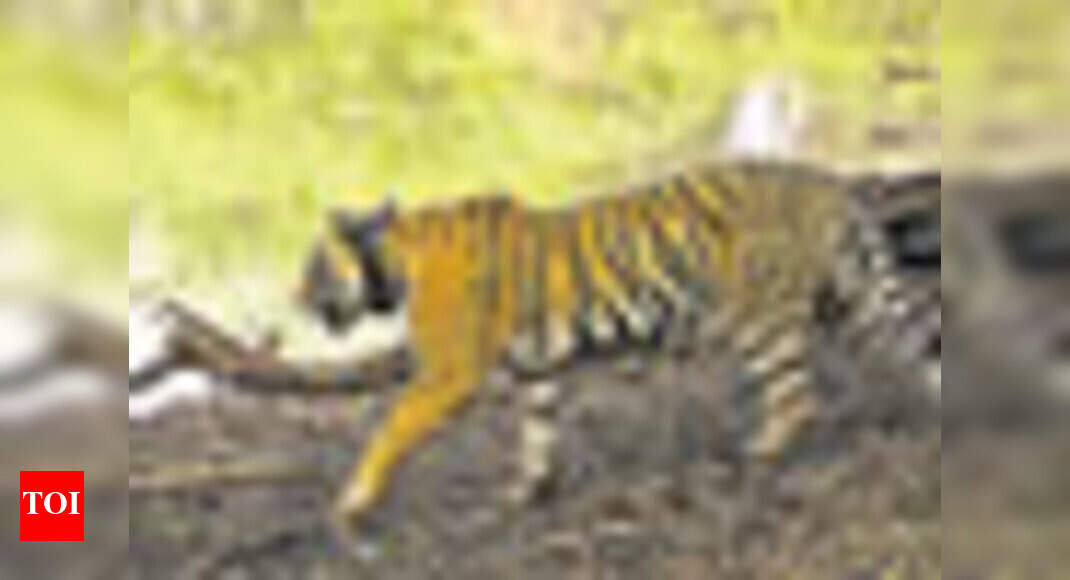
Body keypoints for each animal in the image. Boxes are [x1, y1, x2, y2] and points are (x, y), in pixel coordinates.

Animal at [295, 160, 854, 525]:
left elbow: (390, 428)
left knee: (797, 396)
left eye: (314, 267)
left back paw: (766, 450)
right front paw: (528, 490)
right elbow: (538, 430)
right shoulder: (537, 370)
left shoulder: (449, 373)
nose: (293, 299)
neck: (399, 266)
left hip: (761, 318)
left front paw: (354, 498)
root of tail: (819, 179)